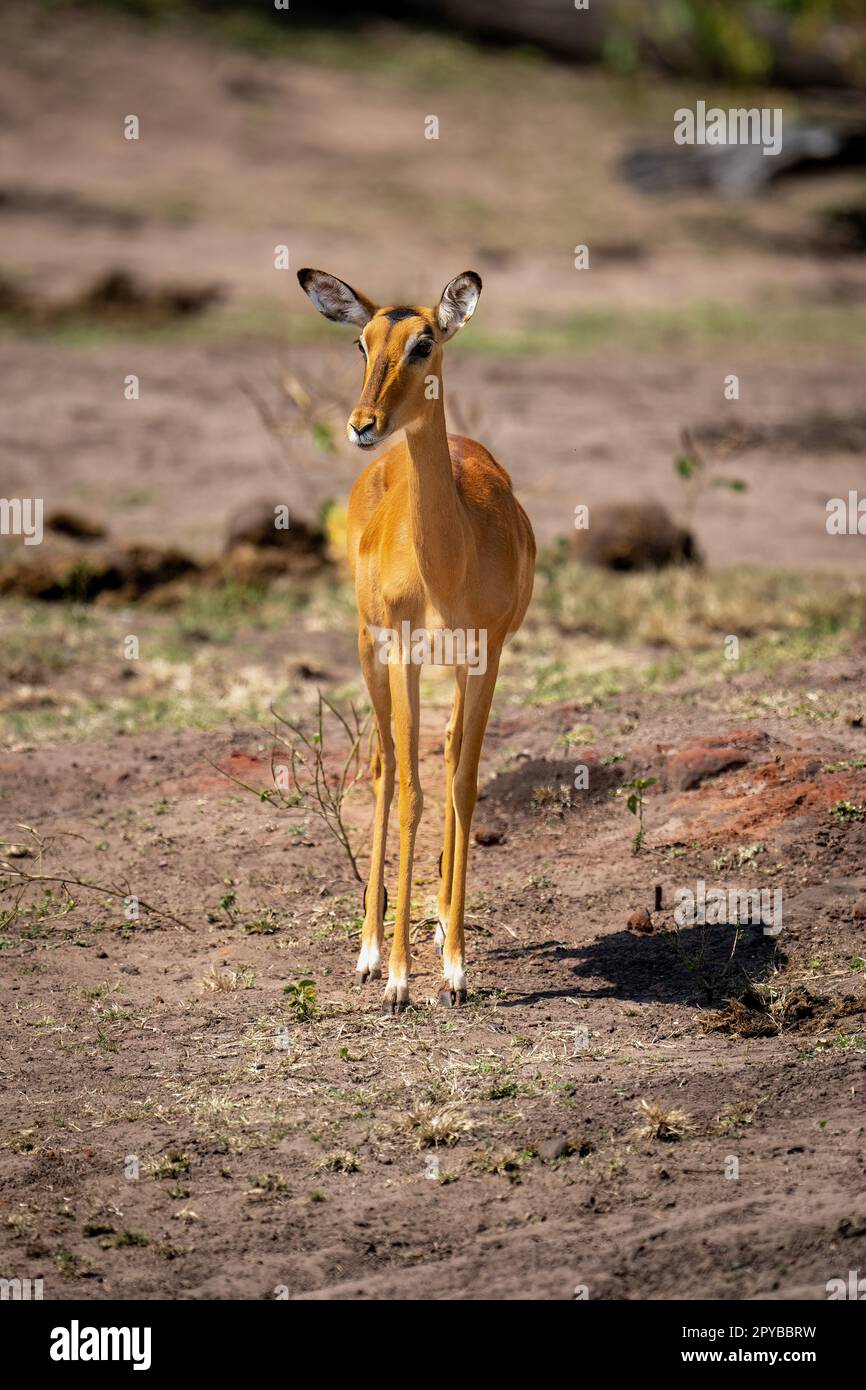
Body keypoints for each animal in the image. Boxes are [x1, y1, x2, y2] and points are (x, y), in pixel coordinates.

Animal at [297, 268, 535, 1012]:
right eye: (361, 342)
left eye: (424, 342)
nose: (362, 424)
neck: (448, 563)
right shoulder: (402, 655)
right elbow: (409, 793)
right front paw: (399, 979)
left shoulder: (485, 658)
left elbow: (463, 783)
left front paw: (455, 965)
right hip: (369, 652)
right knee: (383, 768)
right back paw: (371, 952)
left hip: (451, 671)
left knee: (450, 755)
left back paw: (434, 921)